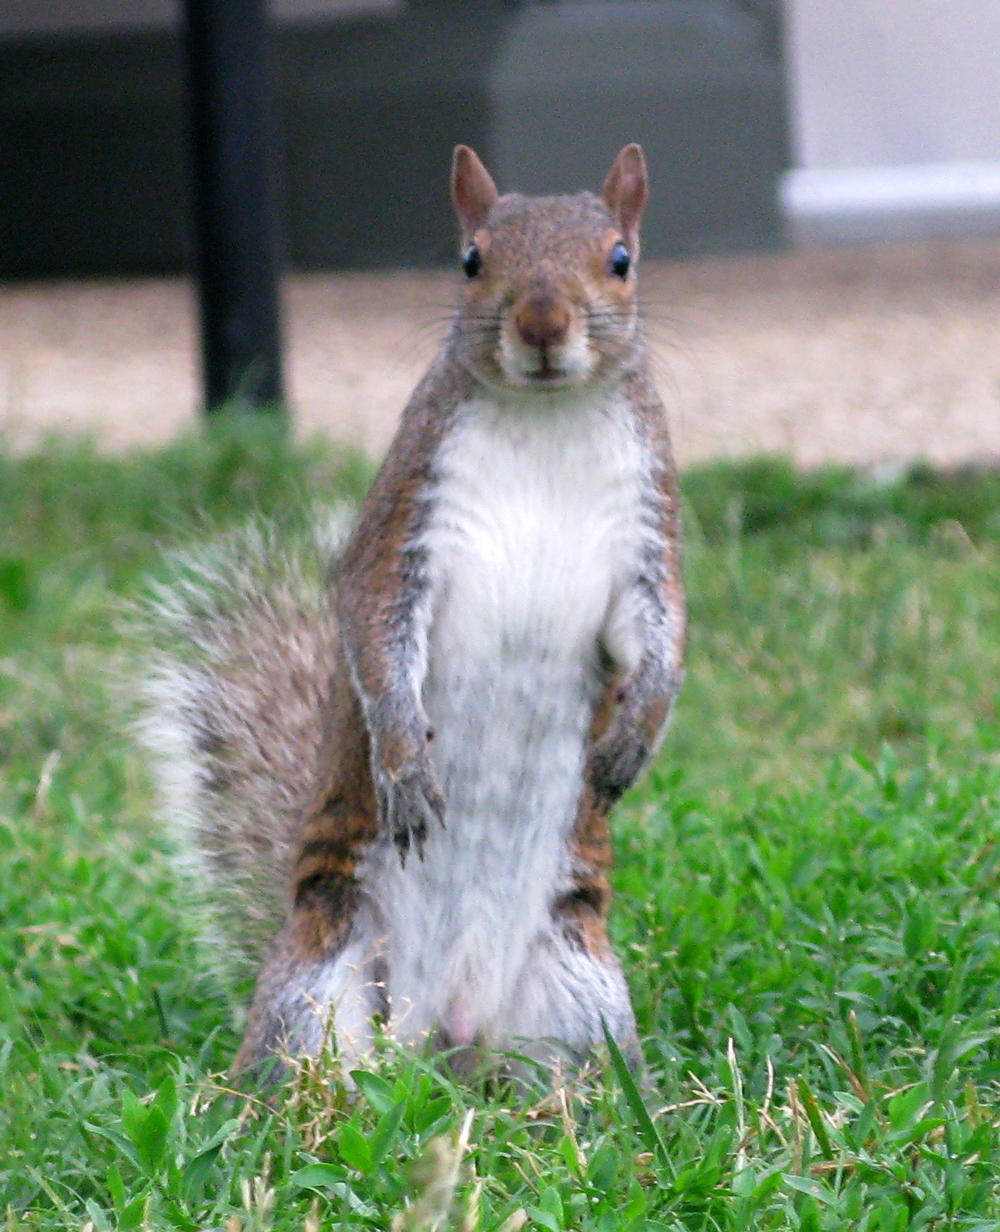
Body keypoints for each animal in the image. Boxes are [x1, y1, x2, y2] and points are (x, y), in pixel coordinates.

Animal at [140, 143, 686, 1080]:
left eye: (621, 260)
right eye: (471, 260)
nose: (542, 324)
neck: (549, 417)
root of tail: (446, 1038)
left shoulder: (647, 539)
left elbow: (660, 636)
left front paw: (635, 736)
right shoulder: (405, 528)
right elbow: (377, 635)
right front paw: (404, 765)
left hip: (580, 997)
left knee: (573, 1086)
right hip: (318, 990)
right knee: (303, 1081)